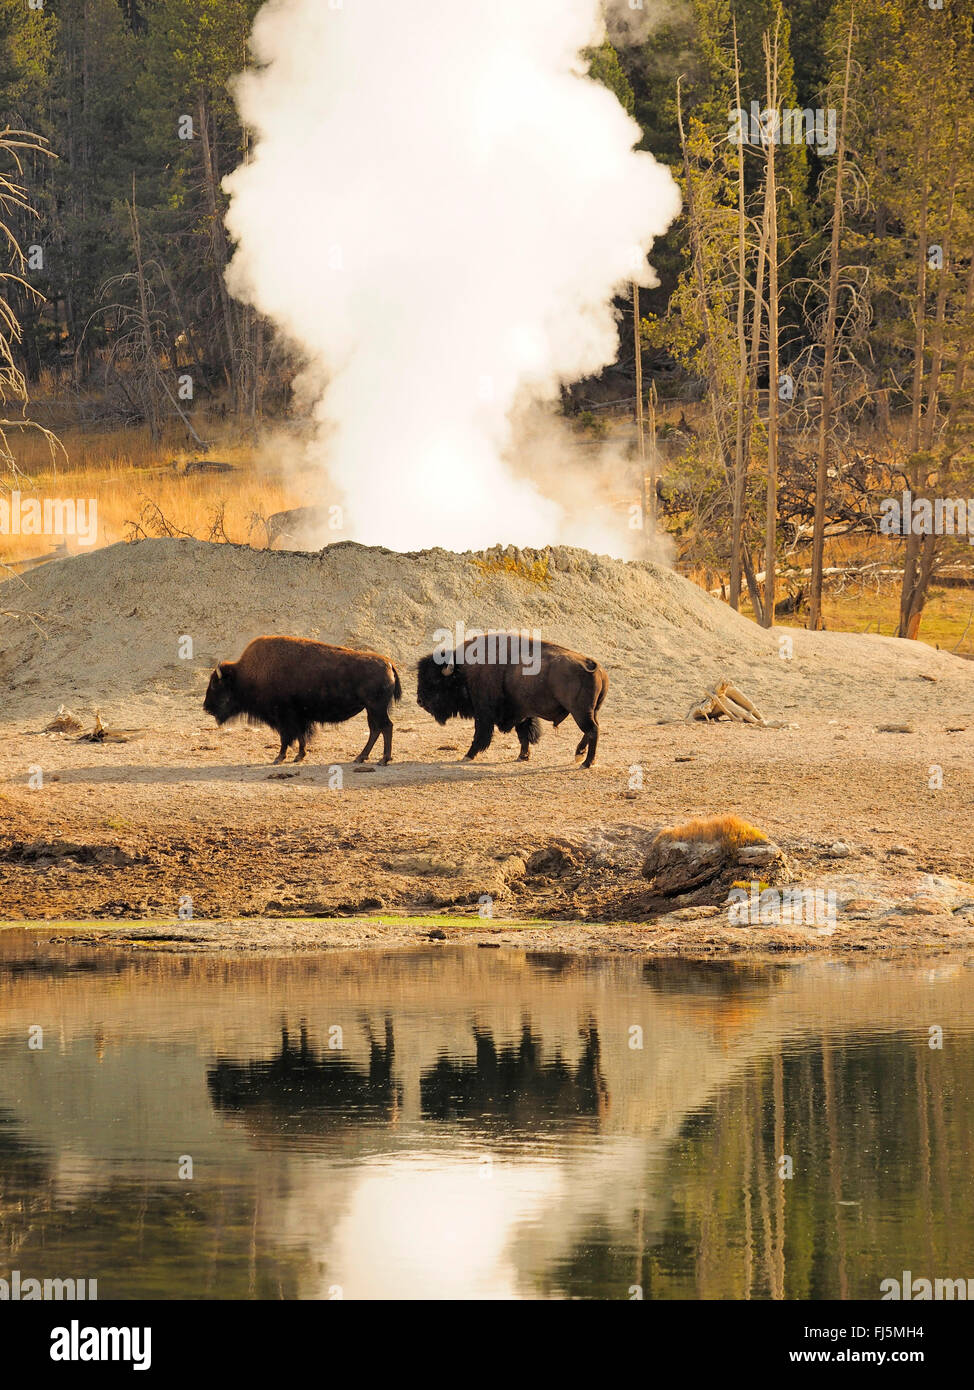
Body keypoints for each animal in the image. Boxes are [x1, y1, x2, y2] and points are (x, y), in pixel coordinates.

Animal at [203, 635, 402, 765]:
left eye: (215, 684)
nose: (206, 707)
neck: (245, 674)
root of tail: (388, 663)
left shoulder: (284, 717)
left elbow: (286, 738)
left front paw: (278, 758)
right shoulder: (298, 717)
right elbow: (300, 736)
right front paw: (299, 756)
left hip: (376, 708)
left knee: (386, 727)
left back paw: (383, 760)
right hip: (371, 709)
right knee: (376, 729)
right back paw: (361, 757)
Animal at [416, 632, 607, 767]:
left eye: (435, 681)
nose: (420, 701)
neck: (462, 671)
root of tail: (591, 664)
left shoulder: (483, 714)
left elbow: (480, 735)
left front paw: (467, 756)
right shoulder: (522, 713)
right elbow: (523, 734)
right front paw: (523, 756)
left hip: (580, 712)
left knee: (592, 730)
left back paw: (586, 763)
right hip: (592, 711)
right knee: (592, 730)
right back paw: (579, 756)